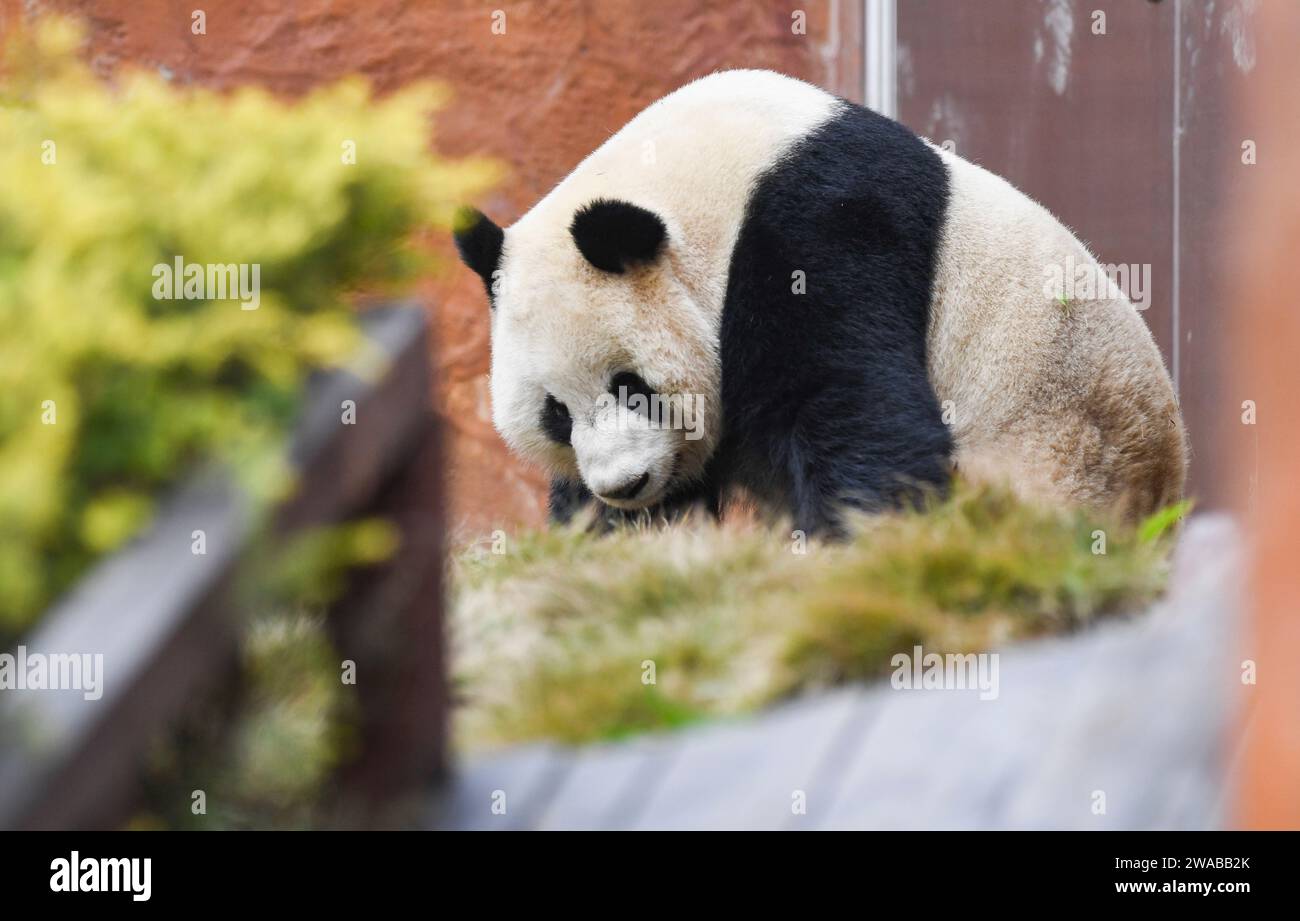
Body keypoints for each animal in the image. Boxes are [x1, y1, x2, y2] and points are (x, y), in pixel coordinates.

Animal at [454, 69, 1186, 535]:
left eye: (630, 385)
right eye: (554, 413)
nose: (623, 486)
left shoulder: (822, 225)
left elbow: (847, 401)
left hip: (1062, 447)